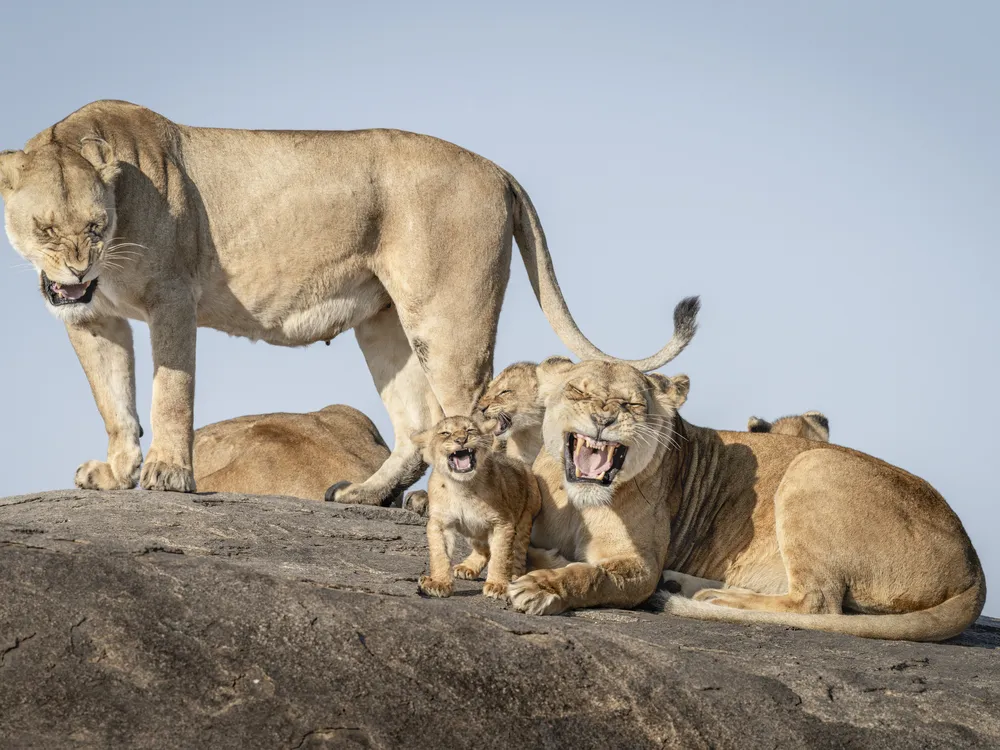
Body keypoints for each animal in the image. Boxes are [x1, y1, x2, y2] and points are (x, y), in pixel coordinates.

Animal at [413, 416, 540, 600]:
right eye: (445, 433)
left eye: (470, 430)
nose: (461, 440)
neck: (462, 487)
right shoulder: (440, 523)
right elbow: (439, 554)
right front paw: (439, 583)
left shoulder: (502, 523)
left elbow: (501, 555)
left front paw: (498, 585)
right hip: (473, 531)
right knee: (484, 549)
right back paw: (467, 567)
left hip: (525, 517)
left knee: (518, 552)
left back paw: (514, 577)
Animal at [507, 359, 985, 642]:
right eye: (578, 392)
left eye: (631, 404)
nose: (604, 418)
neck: (581, 502)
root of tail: (975, 567)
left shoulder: (640, 566)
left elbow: (590, 575)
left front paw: (542, 586)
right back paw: (683, 585)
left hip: (812, 464)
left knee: (816, 602)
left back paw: (715, 601)